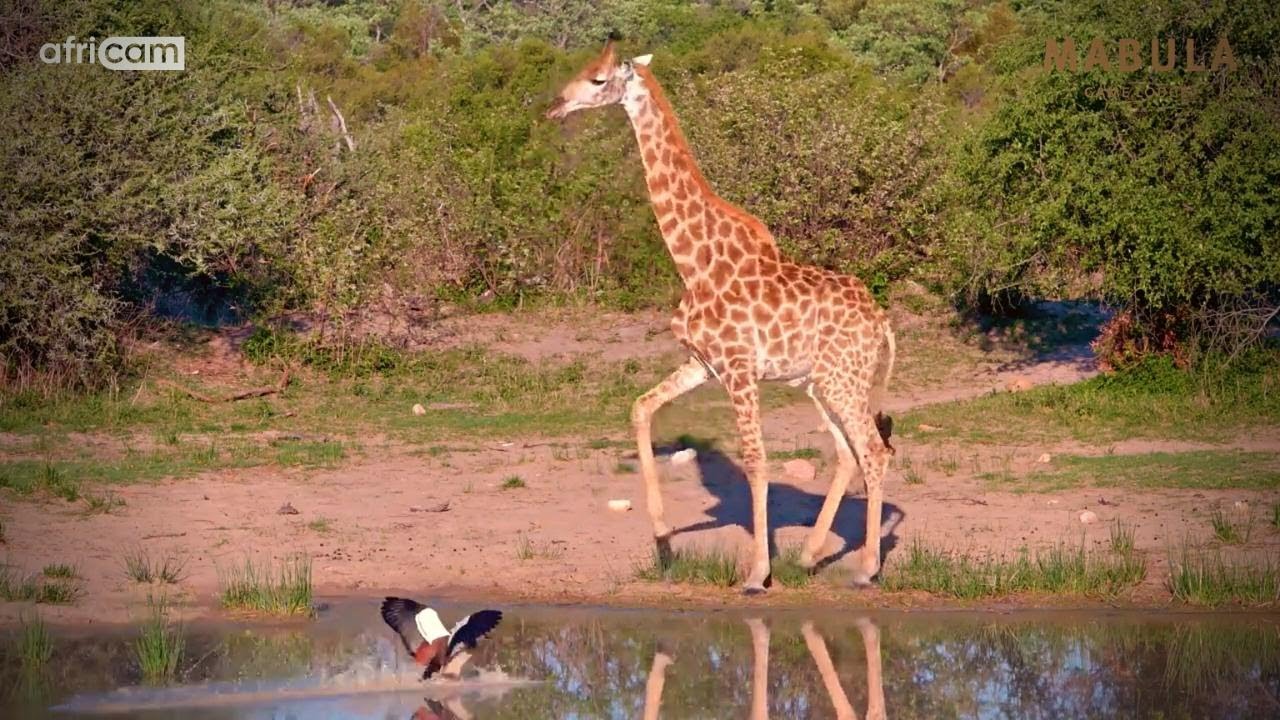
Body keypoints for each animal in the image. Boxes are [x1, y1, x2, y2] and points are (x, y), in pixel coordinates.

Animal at [547, 40, 896, 593]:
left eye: (599, 79)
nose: (556, 106)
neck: (694, 264)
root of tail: (881, 320)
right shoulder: (702, 364)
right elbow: (640, 408)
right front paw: (664, 543)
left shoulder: (737, 369)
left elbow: (756, 462)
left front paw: (756, 574)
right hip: (820, 383)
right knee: (848, 453)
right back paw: (810, 556)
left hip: (843, 379)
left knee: (874, 451)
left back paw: (865, 569)